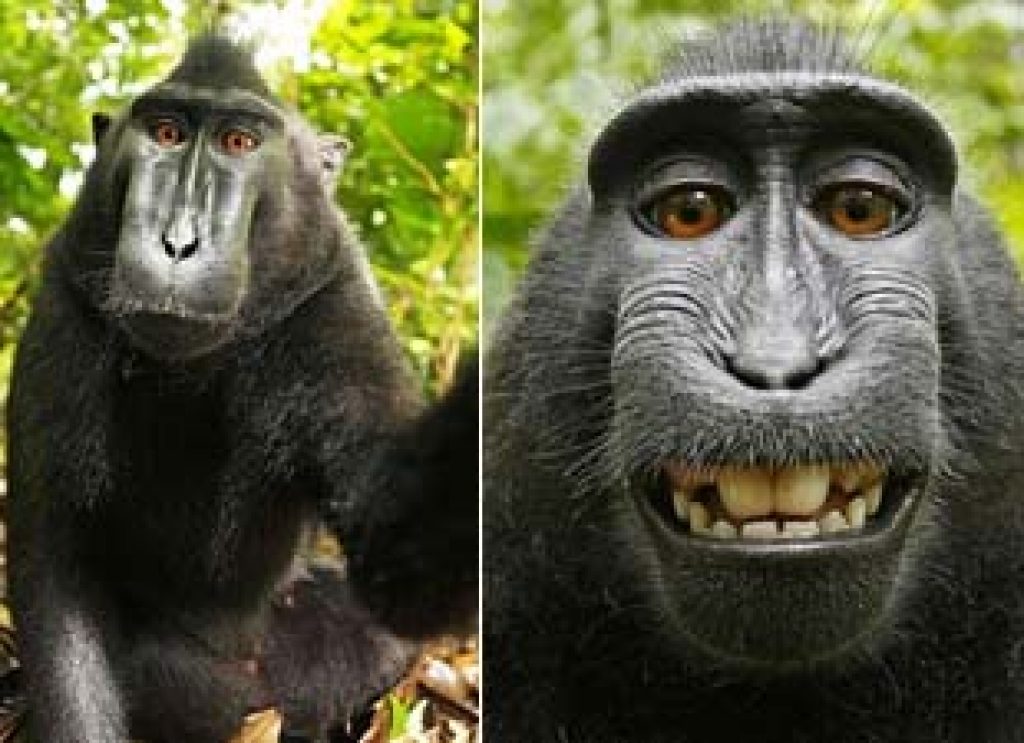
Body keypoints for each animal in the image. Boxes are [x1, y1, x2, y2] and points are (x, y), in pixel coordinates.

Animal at [6, 35, 477, 743]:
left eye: (238, 143)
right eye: (166, 133)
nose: (178, 243)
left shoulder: (335, 304)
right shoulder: (67, 306)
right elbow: (55, 571)